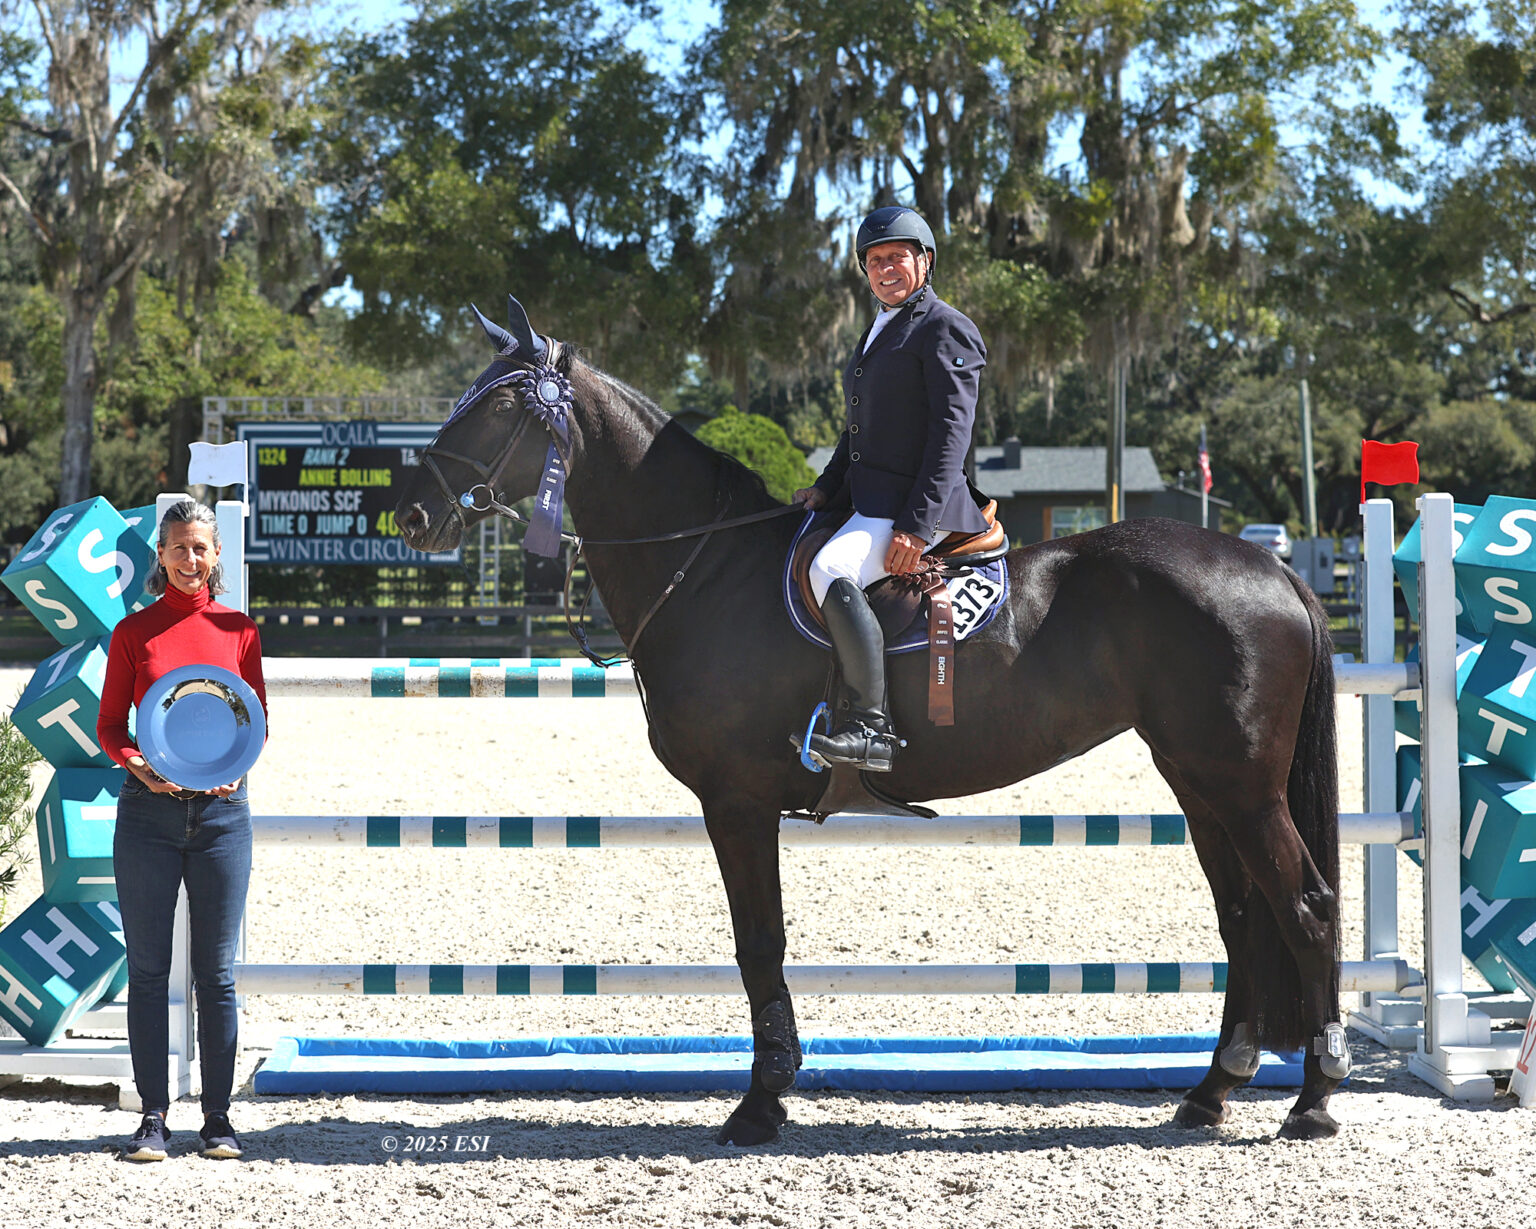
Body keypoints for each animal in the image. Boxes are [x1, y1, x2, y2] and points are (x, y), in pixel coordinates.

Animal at [395, 301, 1348, 1145]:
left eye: (501, 405)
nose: (412, 512)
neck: (707, 568)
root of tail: (1270, 566)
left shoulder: (736, 803)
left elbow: (759, 944)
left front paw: (761, 1104)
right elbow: (762, 947)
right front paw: (769, 1095)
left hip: (1242, 787)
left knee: (1303, 906)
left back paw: (1314, 1099)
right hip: (1198, 780)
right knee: (1242, 914)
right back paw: (1212, 1090)